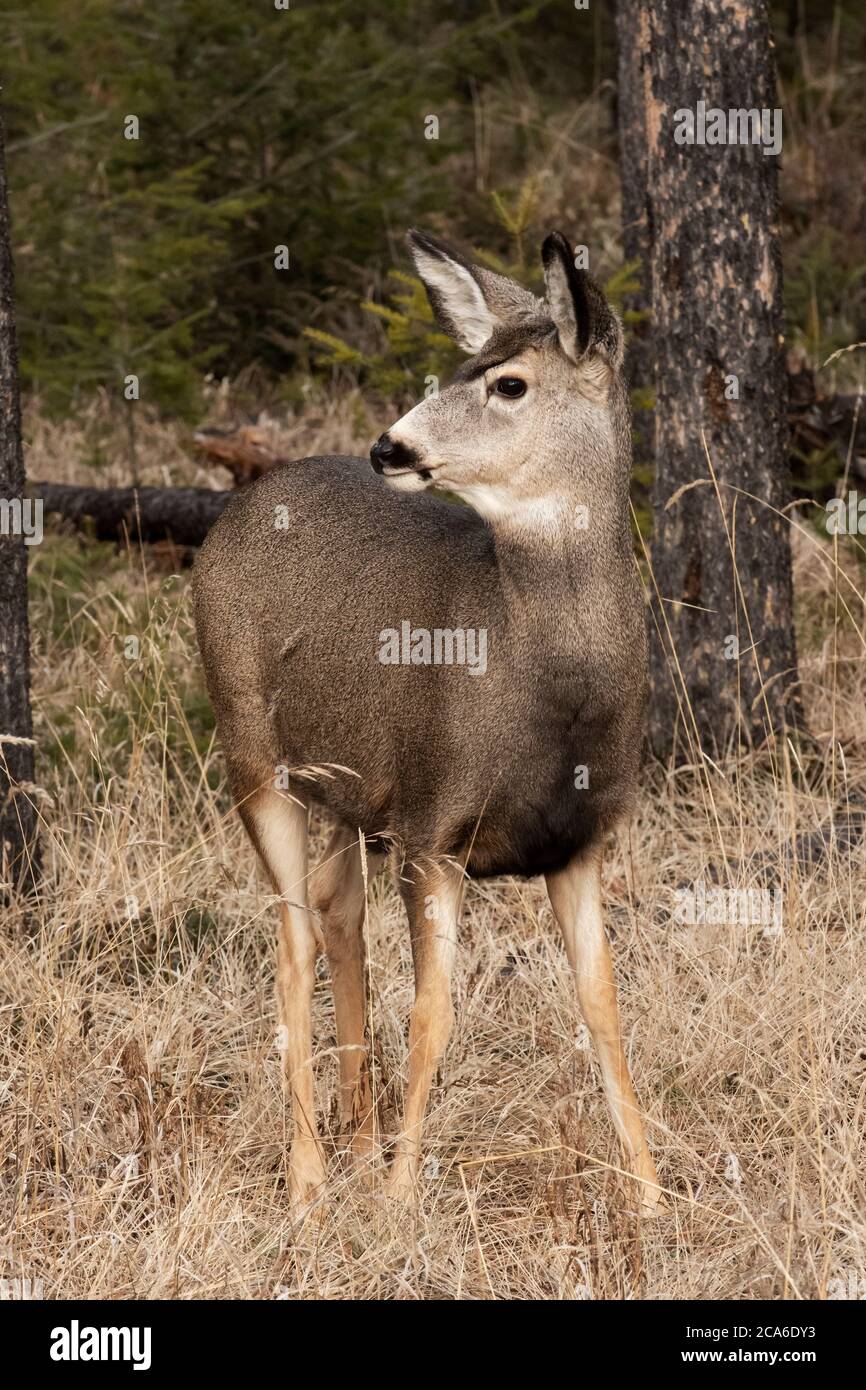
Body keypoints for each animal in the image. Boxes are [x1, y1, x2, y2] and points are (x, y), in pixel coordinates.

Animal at [192, 228, 665, 1218]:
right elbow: (433, 1014)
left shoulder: (582, 840)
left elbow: (604, 1008)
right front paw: (403, 1200)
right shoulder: (430, 824)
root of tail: (243, 500)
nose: (389, 444)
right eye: (461, 366)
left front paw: (651, 1195)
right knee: (291, 938)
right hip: (251, 750)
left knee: (337, 917)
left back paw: (356, 1140)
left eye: (508, 383)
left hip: (346, 788)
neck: (553, 696)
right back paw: (311, 1180)